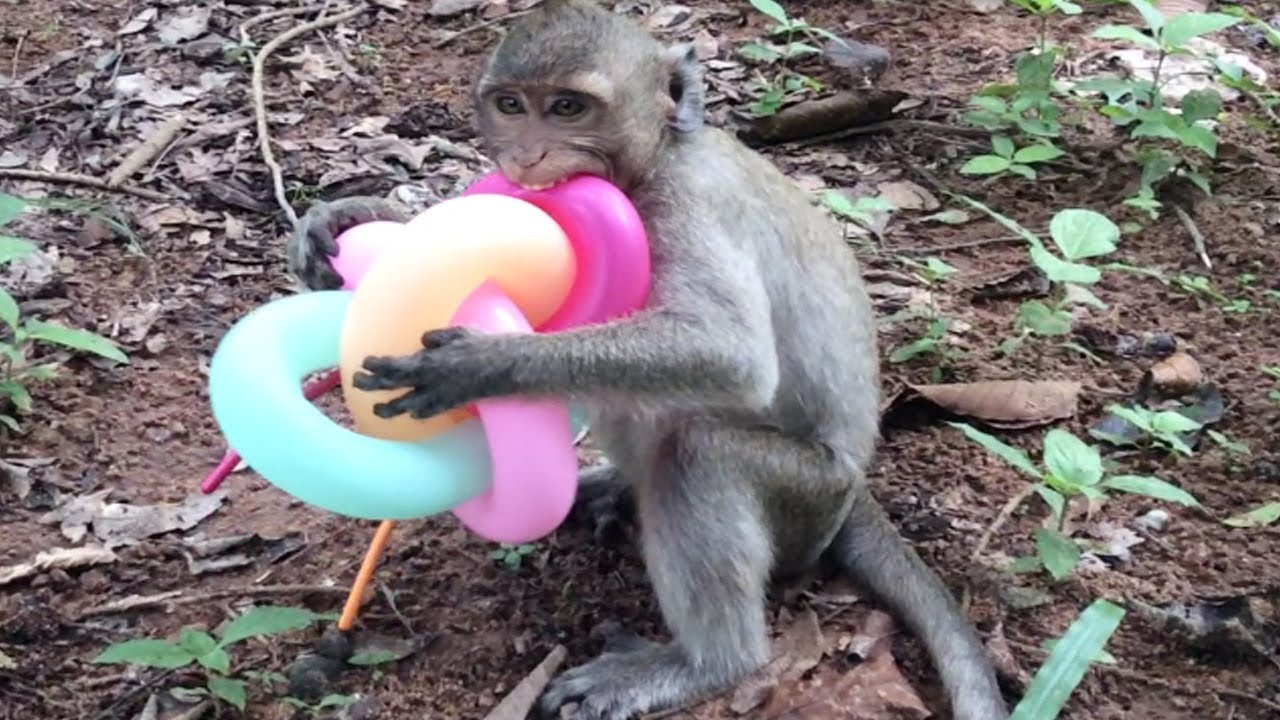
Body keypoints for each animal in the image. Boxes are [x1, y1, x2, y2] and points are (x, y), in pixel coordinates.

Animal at [285, 2, 1008, 719]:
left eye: (568, 108)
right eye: (512, 105)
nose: (528, 156)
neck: (656, 154)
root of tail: (856, 491)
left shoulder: (683, 204)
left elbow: (731, 355)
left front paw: (478, 365)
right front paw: (346, 216)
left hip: (809, 499)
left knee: (699, 450)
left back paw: (707, 664)